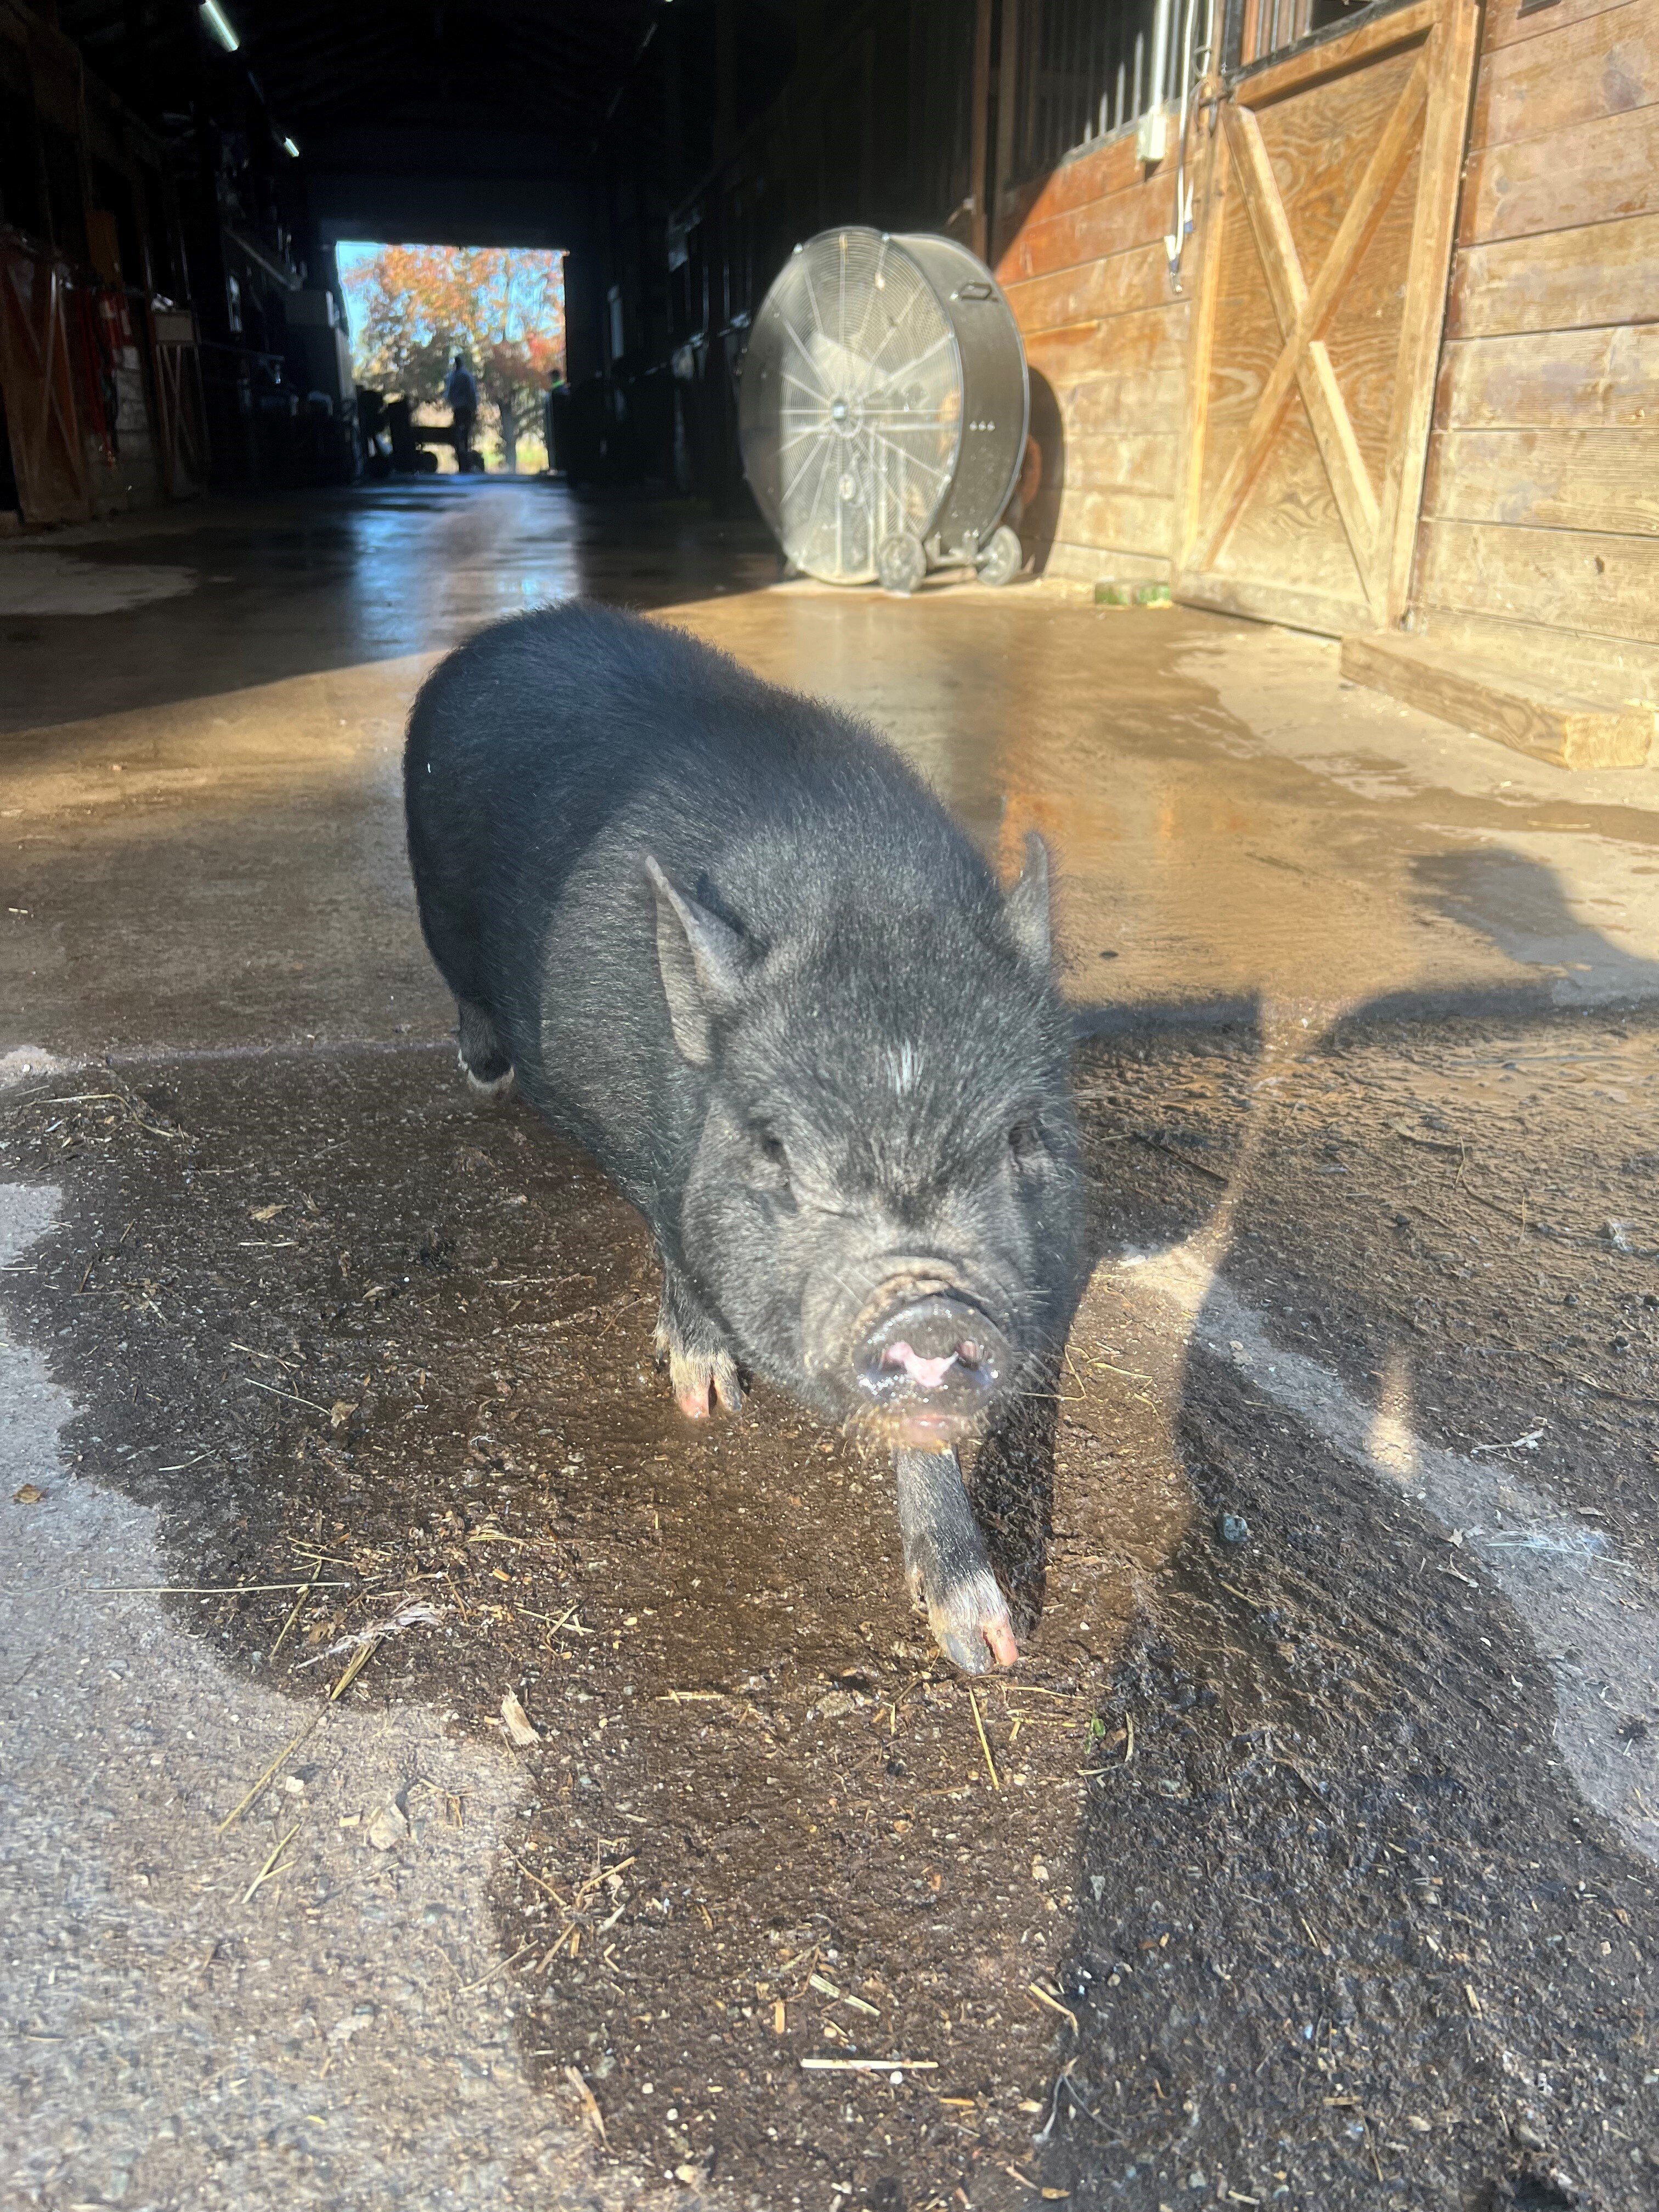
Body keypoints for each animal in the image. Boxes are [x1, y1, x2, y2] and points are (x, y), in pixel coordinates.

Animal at [404, 602, 1083, 1670]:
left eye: (1020, 1136)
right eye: (772, 1149)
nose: (931, 1304)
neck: (856, 905)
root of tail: (503, 631)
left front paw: (987, 1648)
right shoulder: (647, 1157)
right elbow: (676, 1249)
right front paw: (705, 1398)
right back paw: (485, 1070)